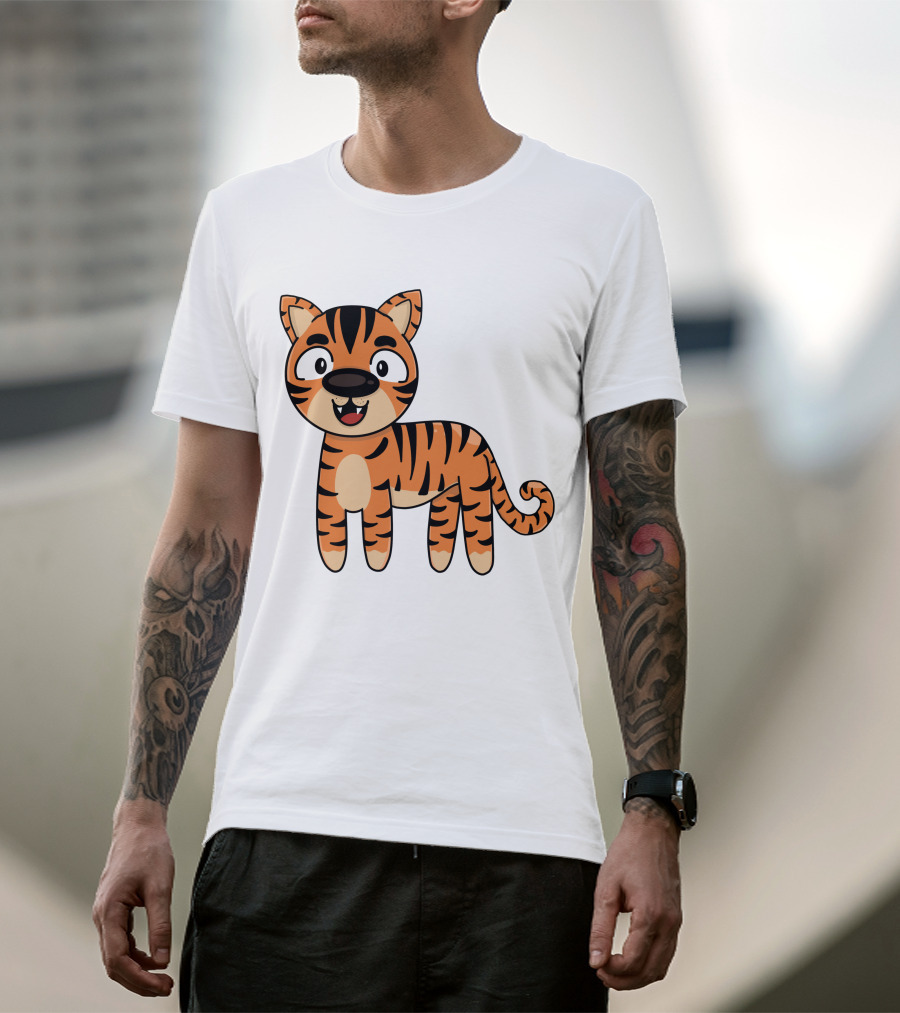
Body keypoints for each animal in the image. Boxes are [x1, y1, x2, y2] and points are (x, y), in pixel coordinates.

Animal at [280, 289, 554, 574]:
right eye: (319, 364)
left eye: (382, 366)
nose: (350, 384)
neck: (352, 446)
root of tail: (479, 437)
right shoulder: (328, 501)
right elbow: (330, 539)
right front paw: (335, 565)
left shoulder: (378, 497)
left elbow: (377, 536)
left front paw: (377, 566)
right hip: (447, 494)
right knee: (441, 532)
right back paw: (439, 565)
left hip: (474, 489)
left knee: (480, 531)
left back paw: (480, 566)